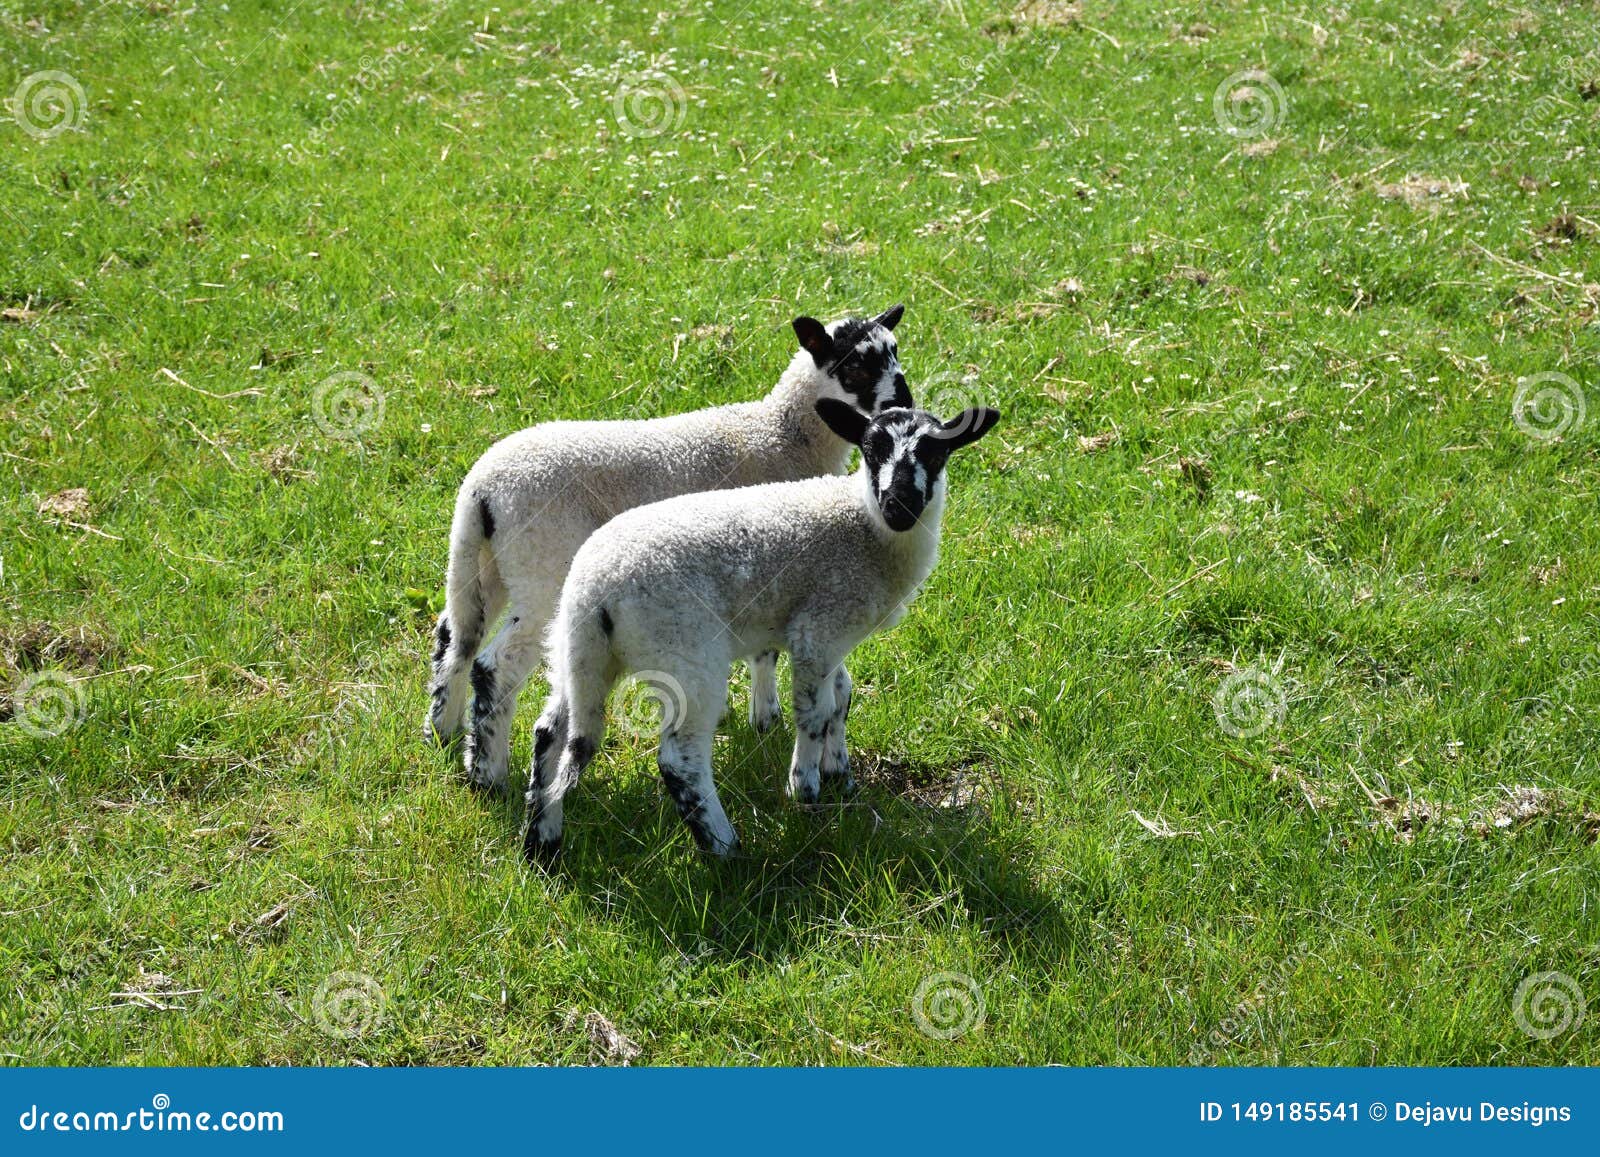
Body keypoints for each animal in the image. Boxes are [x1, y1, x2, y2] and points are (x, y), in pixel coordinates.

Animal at [427, 306, 913, 794]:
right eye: (855, 367)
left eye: (894, 352)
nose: (901, 402)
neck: (782, 434)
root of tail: (482, 490)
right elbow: (767, 653)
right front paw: (765, 715)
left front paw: (763, 715)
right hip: (543, 568)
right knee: (495, 664)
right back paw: (488, 773)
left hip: (482, 563)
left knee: (455, 638)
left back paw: (444, 733)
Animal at [521, 398, 1002, 862]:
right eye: (871, 449)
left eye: (937, 452)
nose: (898, 506)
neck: (865, 529)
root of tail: (595, 588)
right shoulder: (818, 628)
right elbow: (815, 714)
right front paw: (806, 792)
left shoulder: (834, 632)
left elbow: (841, 699)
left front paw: (840, 776)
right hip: (684, 652)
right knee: (680, 760)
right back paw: (725, 849)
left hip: (580, 651)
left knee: (552, 733)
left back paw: (542, 844)